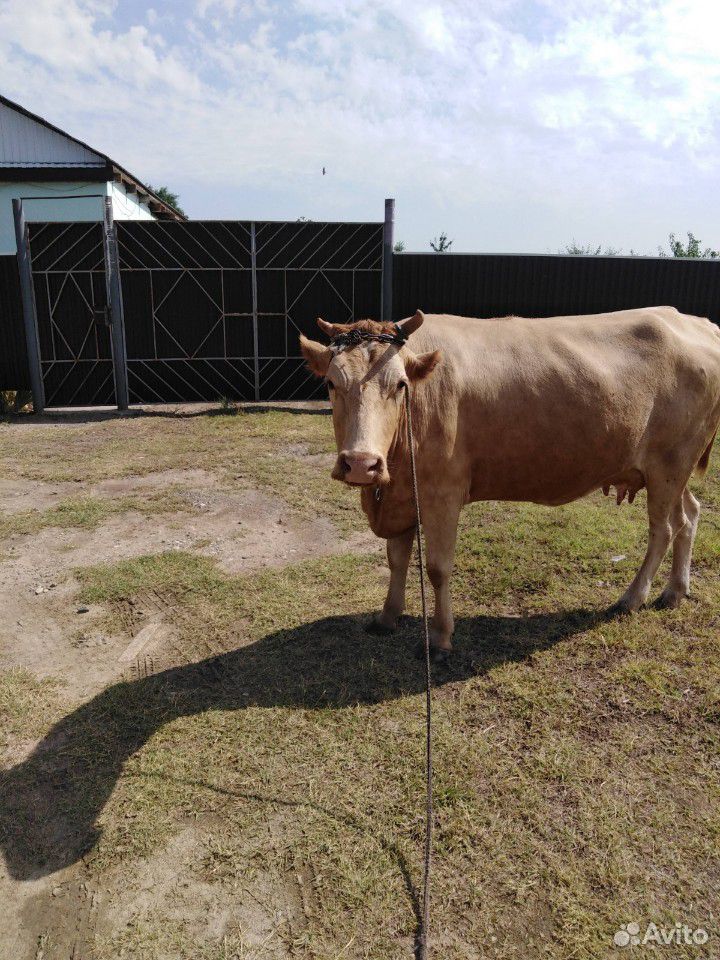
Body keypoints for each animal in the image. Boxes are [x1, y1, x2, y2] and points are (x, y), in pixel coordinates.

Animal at [299, 308, 720, 660]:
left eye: (401, 385)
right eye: (332, 384)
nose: (361, 463)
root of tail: (695, 321)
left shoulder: (442, 493)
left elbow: (437, 568)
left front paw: (440, 638)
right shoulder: (400, 493)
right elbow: (396, 558)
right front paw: (387, 617)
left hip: (669, 465)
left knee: (663, 530)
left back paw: (631, 599)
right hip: (672, 471)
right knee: (689, 516)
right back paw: (674, 591)